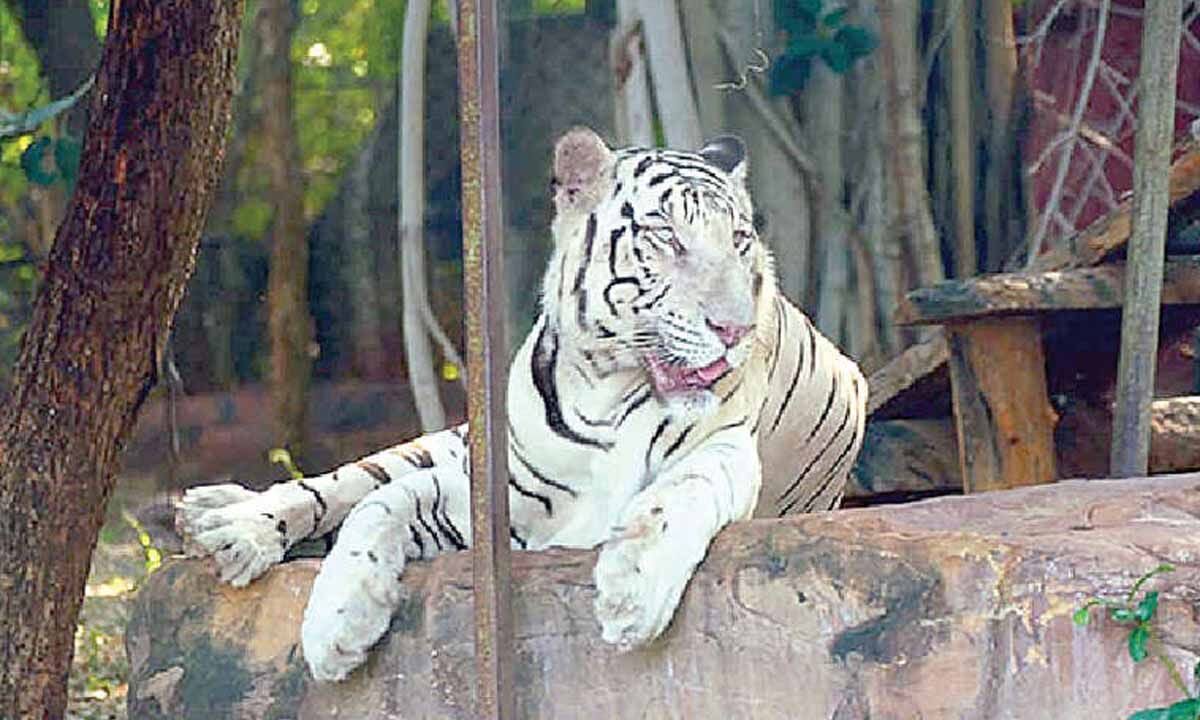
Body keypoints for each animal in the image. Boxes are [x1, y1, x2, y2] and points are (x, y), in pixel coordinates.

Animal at [176, 127, 867, 682]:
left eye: (741, 240)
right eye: (666, 237)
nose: (735, 329)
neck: (608, 395)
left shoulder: (728, 452)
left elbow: (682, 489)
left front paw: (632, 590)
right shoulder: (493, 498)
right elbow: (380, 504)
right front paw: (334, 627)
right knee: (341, 484)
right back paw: (227, 522)